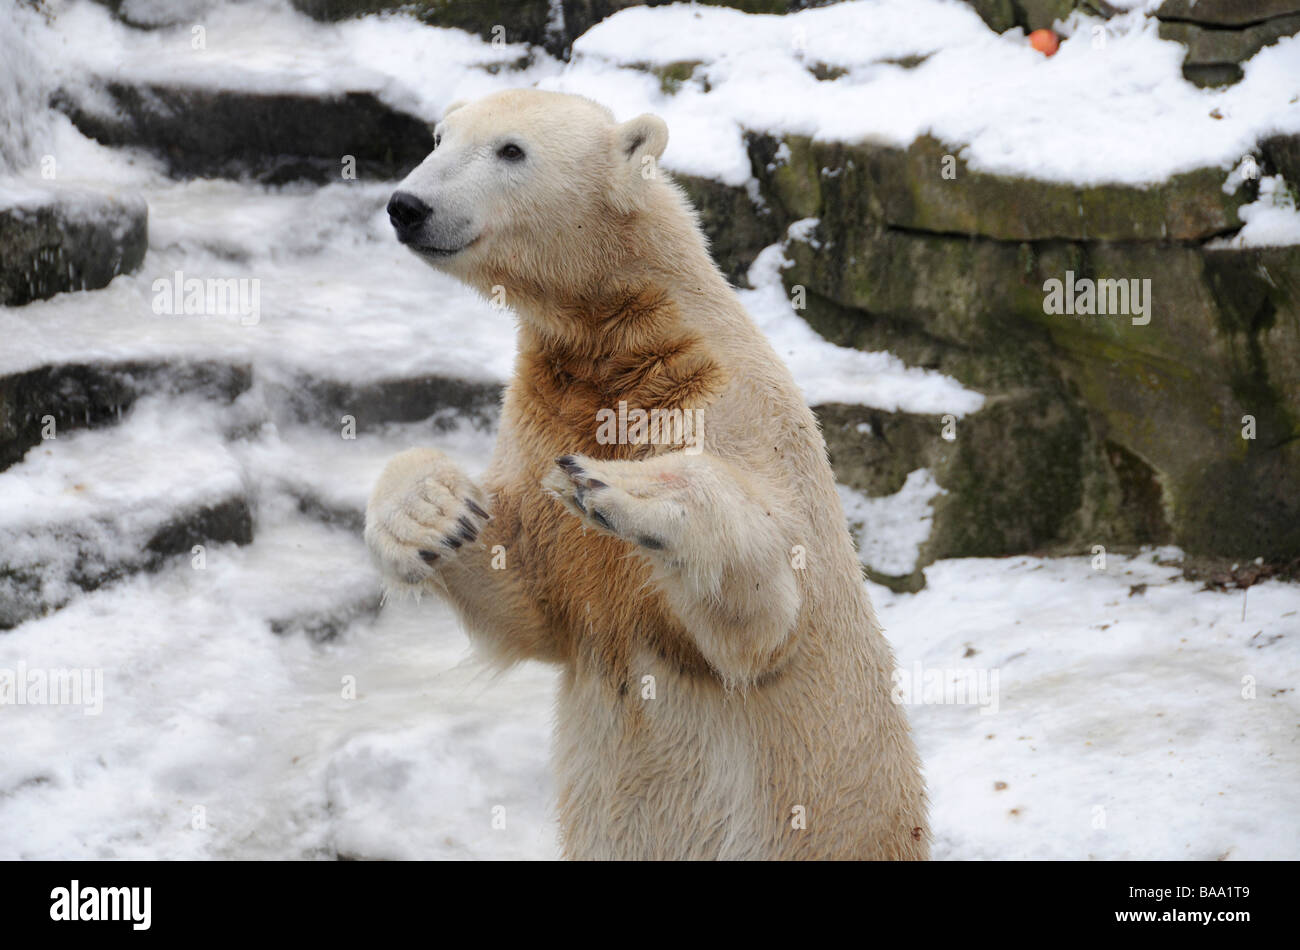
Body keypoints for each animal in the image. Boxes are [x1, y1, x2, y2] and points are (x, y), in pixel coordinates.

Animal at [365, 88, 929, 860]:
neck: (627, 339)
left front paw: (623, 488)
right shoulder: (544, 417)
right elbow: (528, 589)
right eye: (439, 137)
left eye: (511, 149)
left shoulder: (737, 416)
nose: (407, 205)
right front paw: (431, 513)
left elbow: (764, 618)